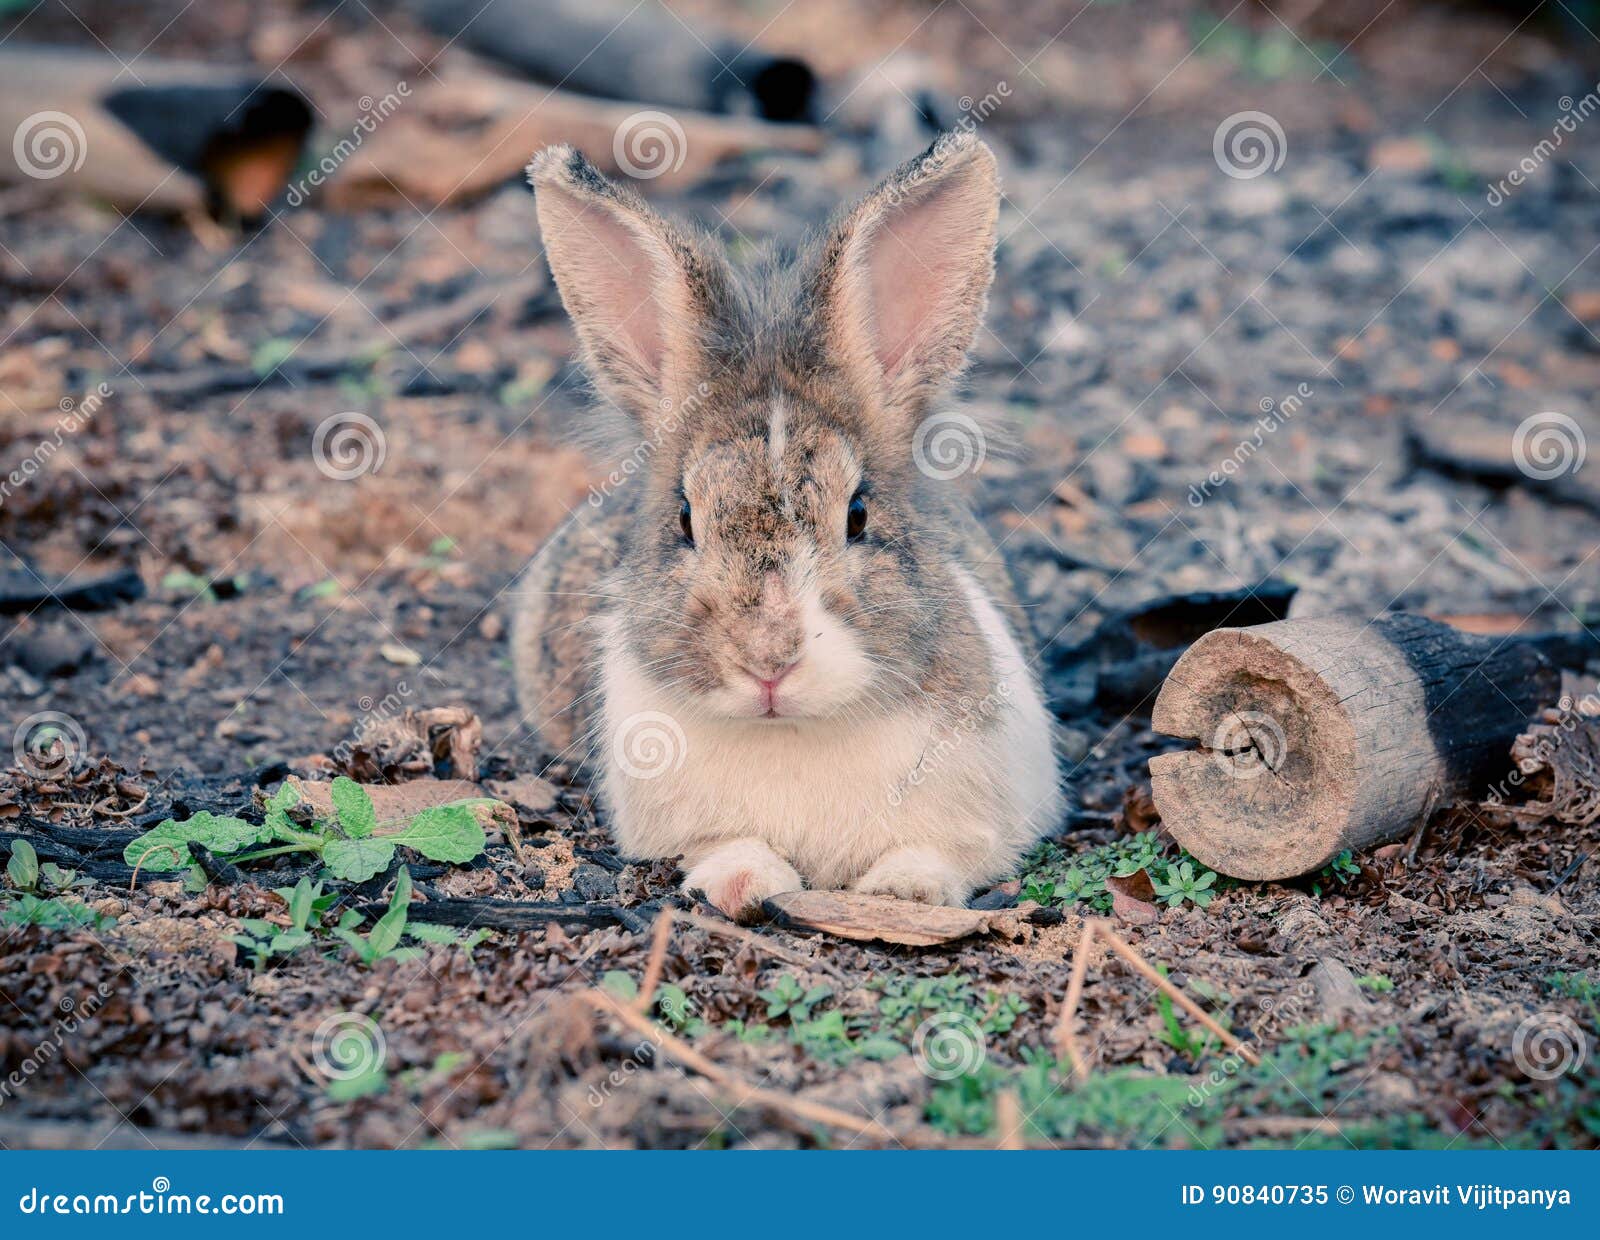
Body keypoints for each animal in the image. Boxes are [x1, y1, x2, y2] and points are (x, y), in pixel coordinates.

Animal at [511, 131, 1063, 920]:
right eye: (686, 519)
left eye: (858, 515)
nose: (768, 660)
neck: (795, 728)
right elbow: (724, 846)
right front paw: (744, 882)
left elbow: (942, 856)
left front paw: (905, 889)